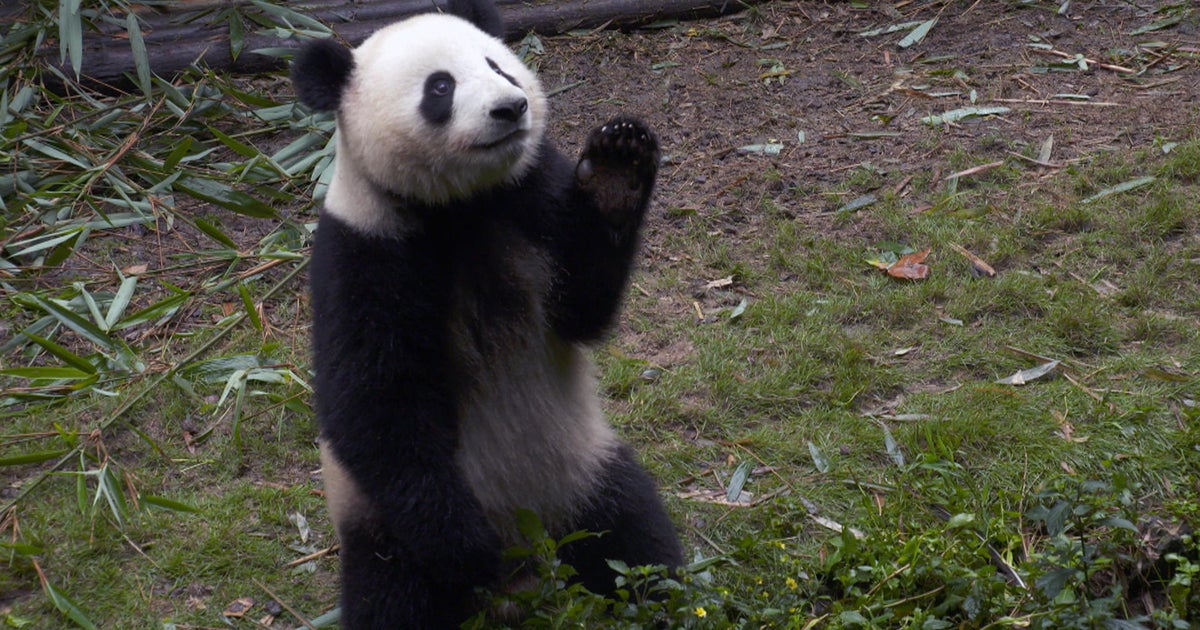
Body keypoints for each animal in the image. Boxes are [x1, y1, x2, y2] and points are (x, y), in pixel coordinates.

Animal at [290, 0, 684, 626]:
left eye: (498, 65)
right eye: (440, 88)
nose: (511, 107)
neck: (461, 205)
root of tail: (531, 563)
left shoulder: (532, 197)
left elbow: (583, 308)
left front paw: (619, 166)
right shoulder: (364, 249)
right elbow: (374, 400)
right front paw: (467, 547)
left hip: (582, 470)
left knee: (632, 537)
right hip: (385, 529)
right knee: (392, 597)